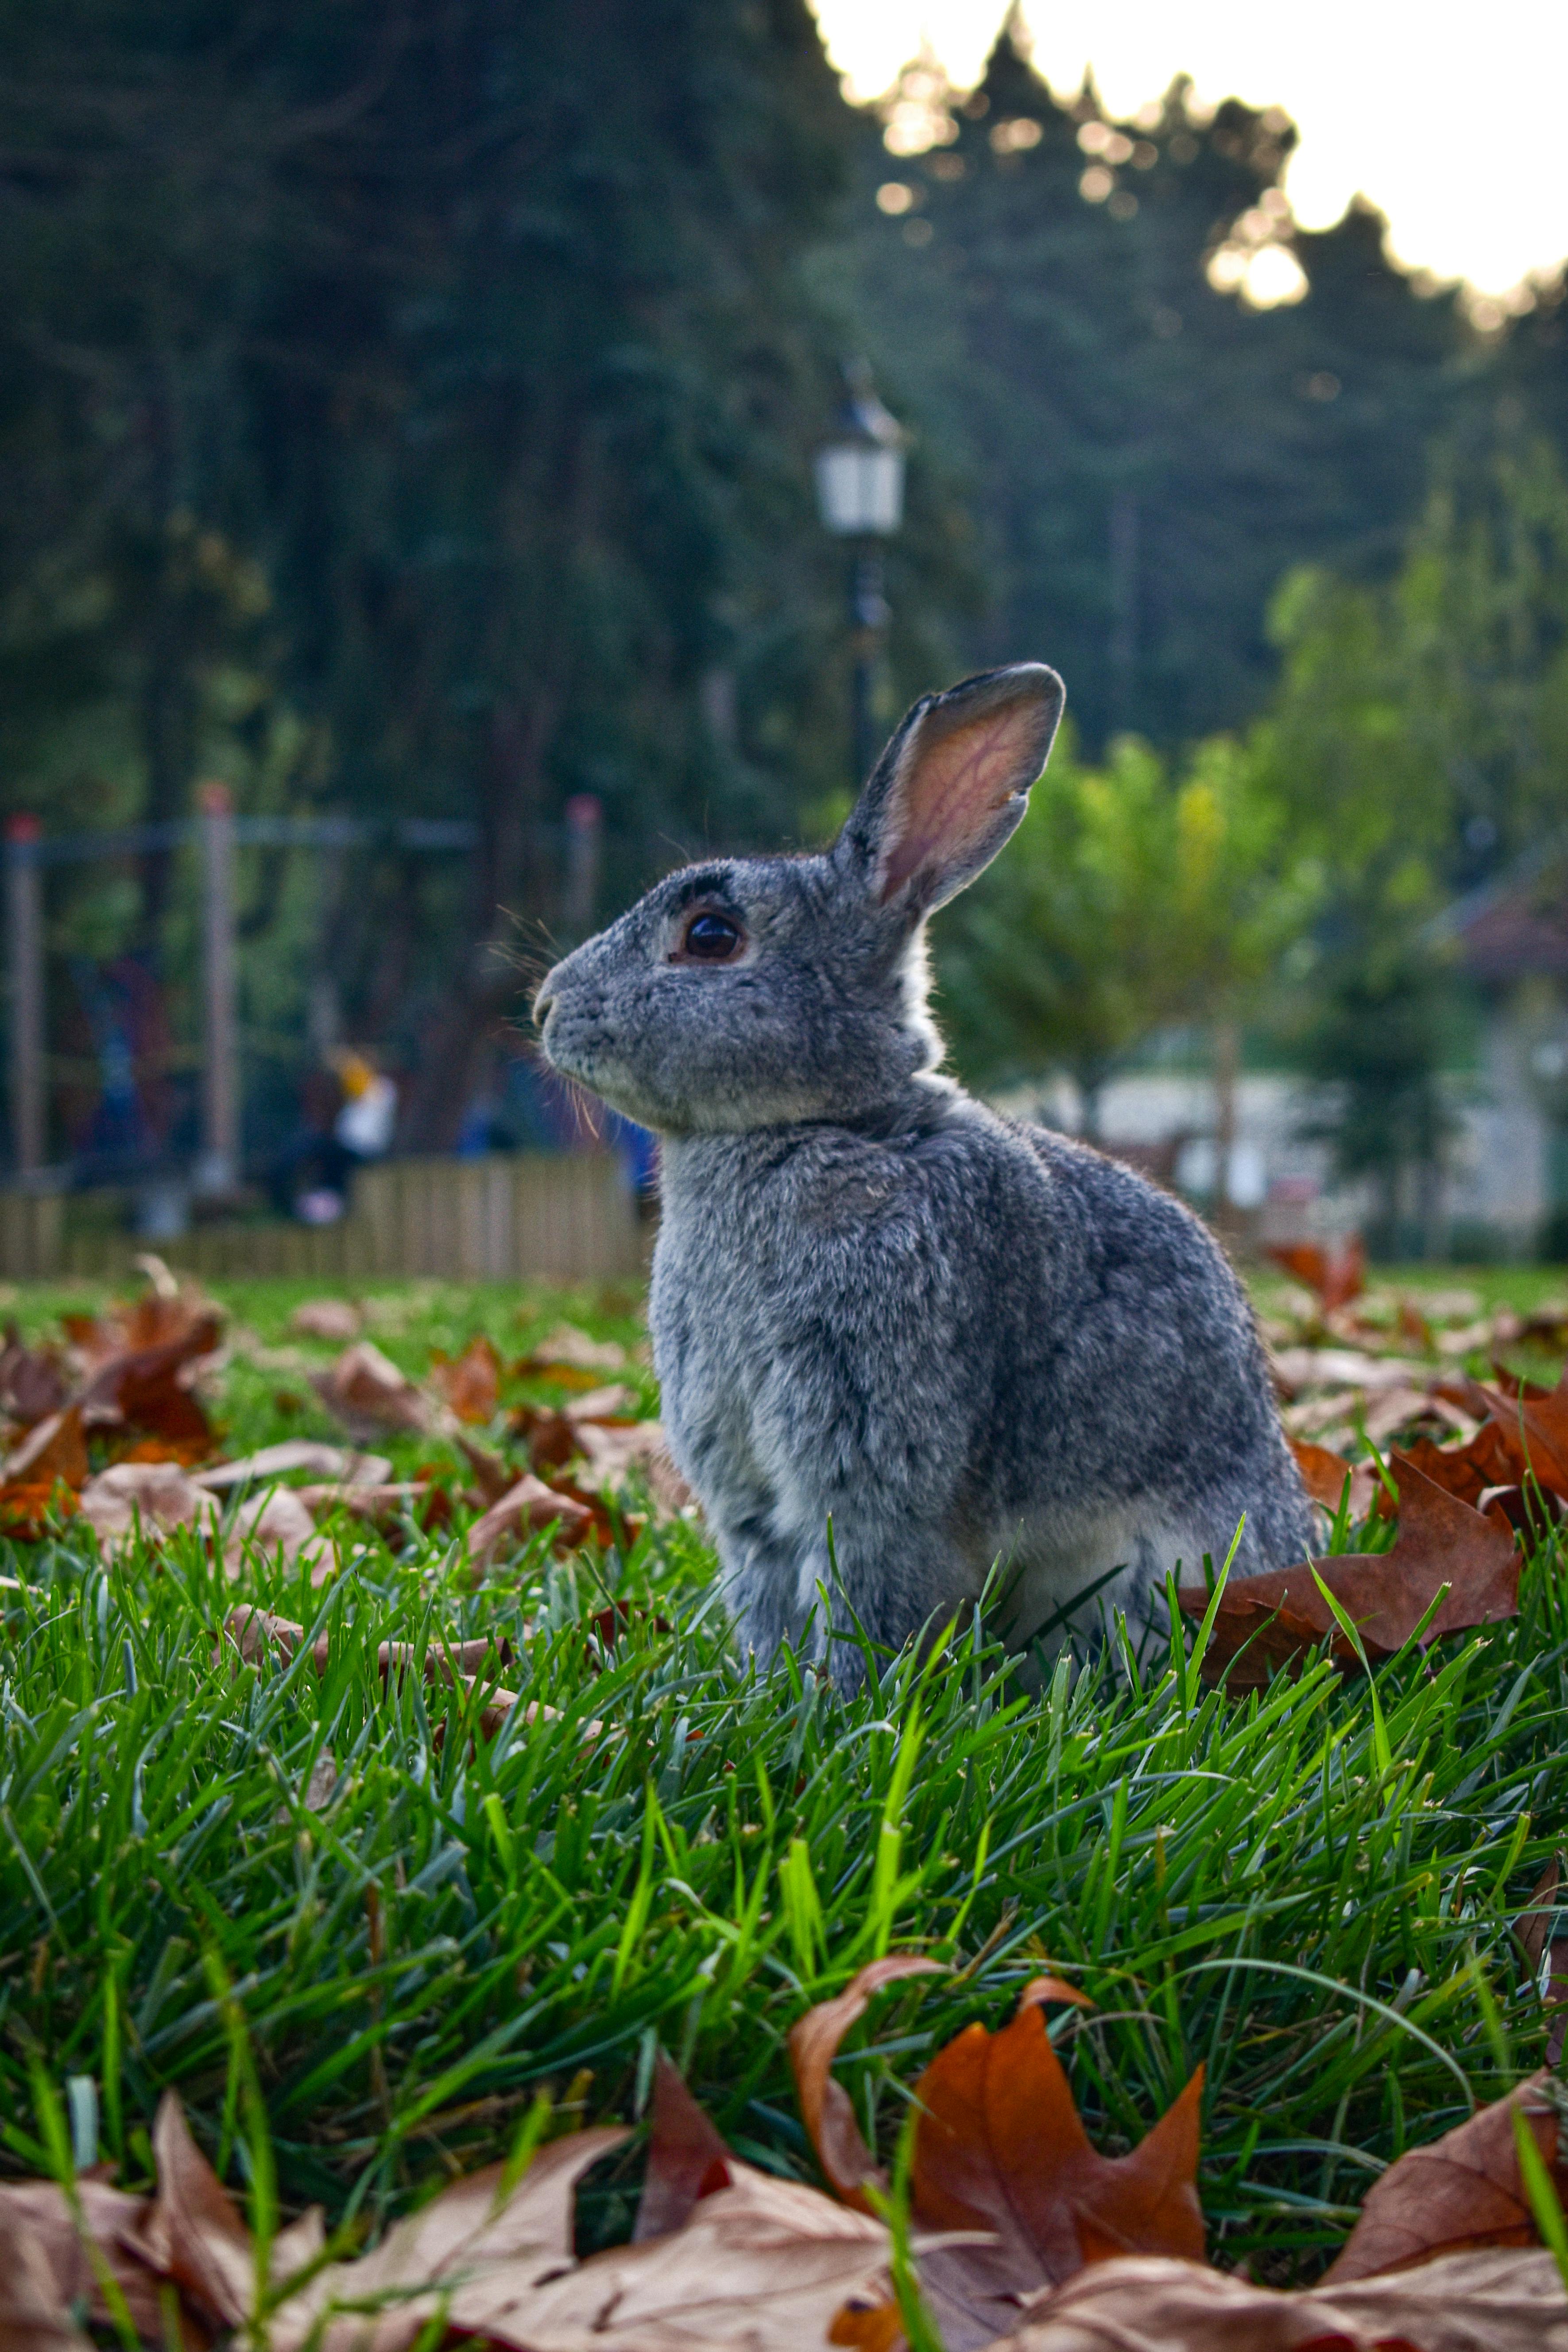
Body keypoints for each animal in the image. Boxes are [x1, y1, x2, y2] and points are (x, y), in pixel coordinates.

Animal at [534, 661, 1314, 1691]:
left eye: (710, 935)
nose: (545, 1007)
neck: (816, 1123)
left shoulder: (872, 1457)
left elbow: (870, 1584)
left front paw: (842, 1702)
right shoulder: (746, 1485)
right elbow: (767, 1589)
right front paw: (774, 1691)